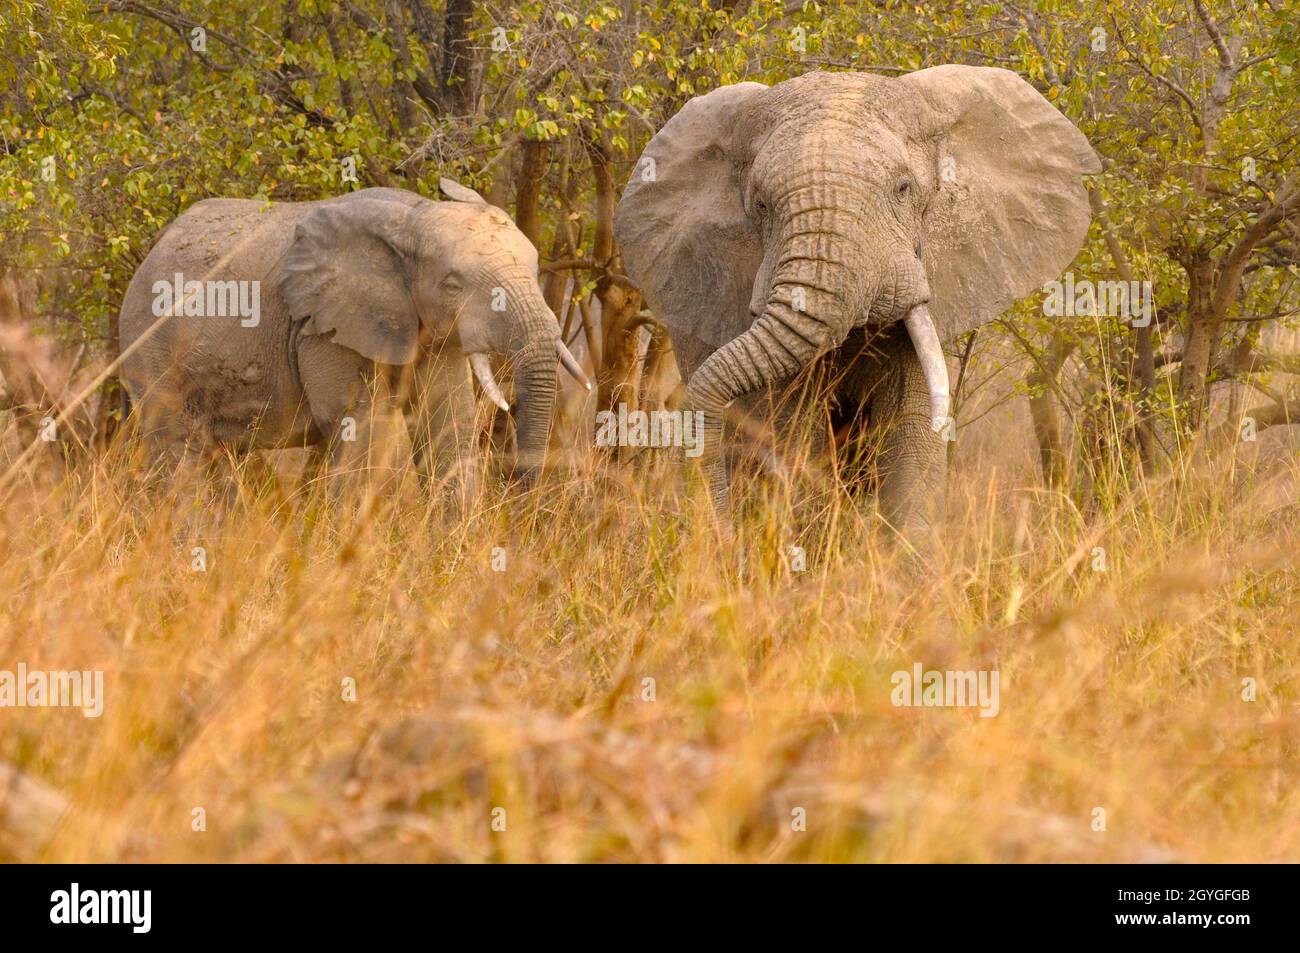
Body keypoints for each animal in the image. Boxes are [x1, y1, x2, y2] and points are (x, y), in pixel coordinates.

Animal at [118, 180, 589, 499]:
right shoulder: (321, 328)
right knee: (177, 449)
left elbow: (447, 424)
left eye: (534, 268)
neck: (414, 216)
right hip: (151, 348)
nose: (521, 493)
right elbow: (353, 422)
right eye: (453, 284)